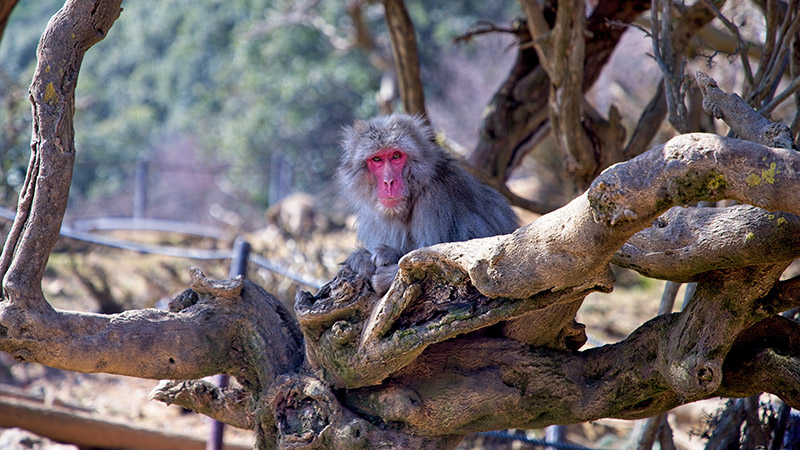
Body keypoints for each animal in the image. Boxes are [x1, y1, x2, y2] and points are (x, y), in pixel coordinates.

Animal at [338, 114, 520, 294]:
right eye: (377, 159)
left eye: (396, 156)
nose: (388, 182)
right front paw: (361, 259)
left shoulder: (435, 200)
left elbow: (433, 265)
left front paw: (387, 263)